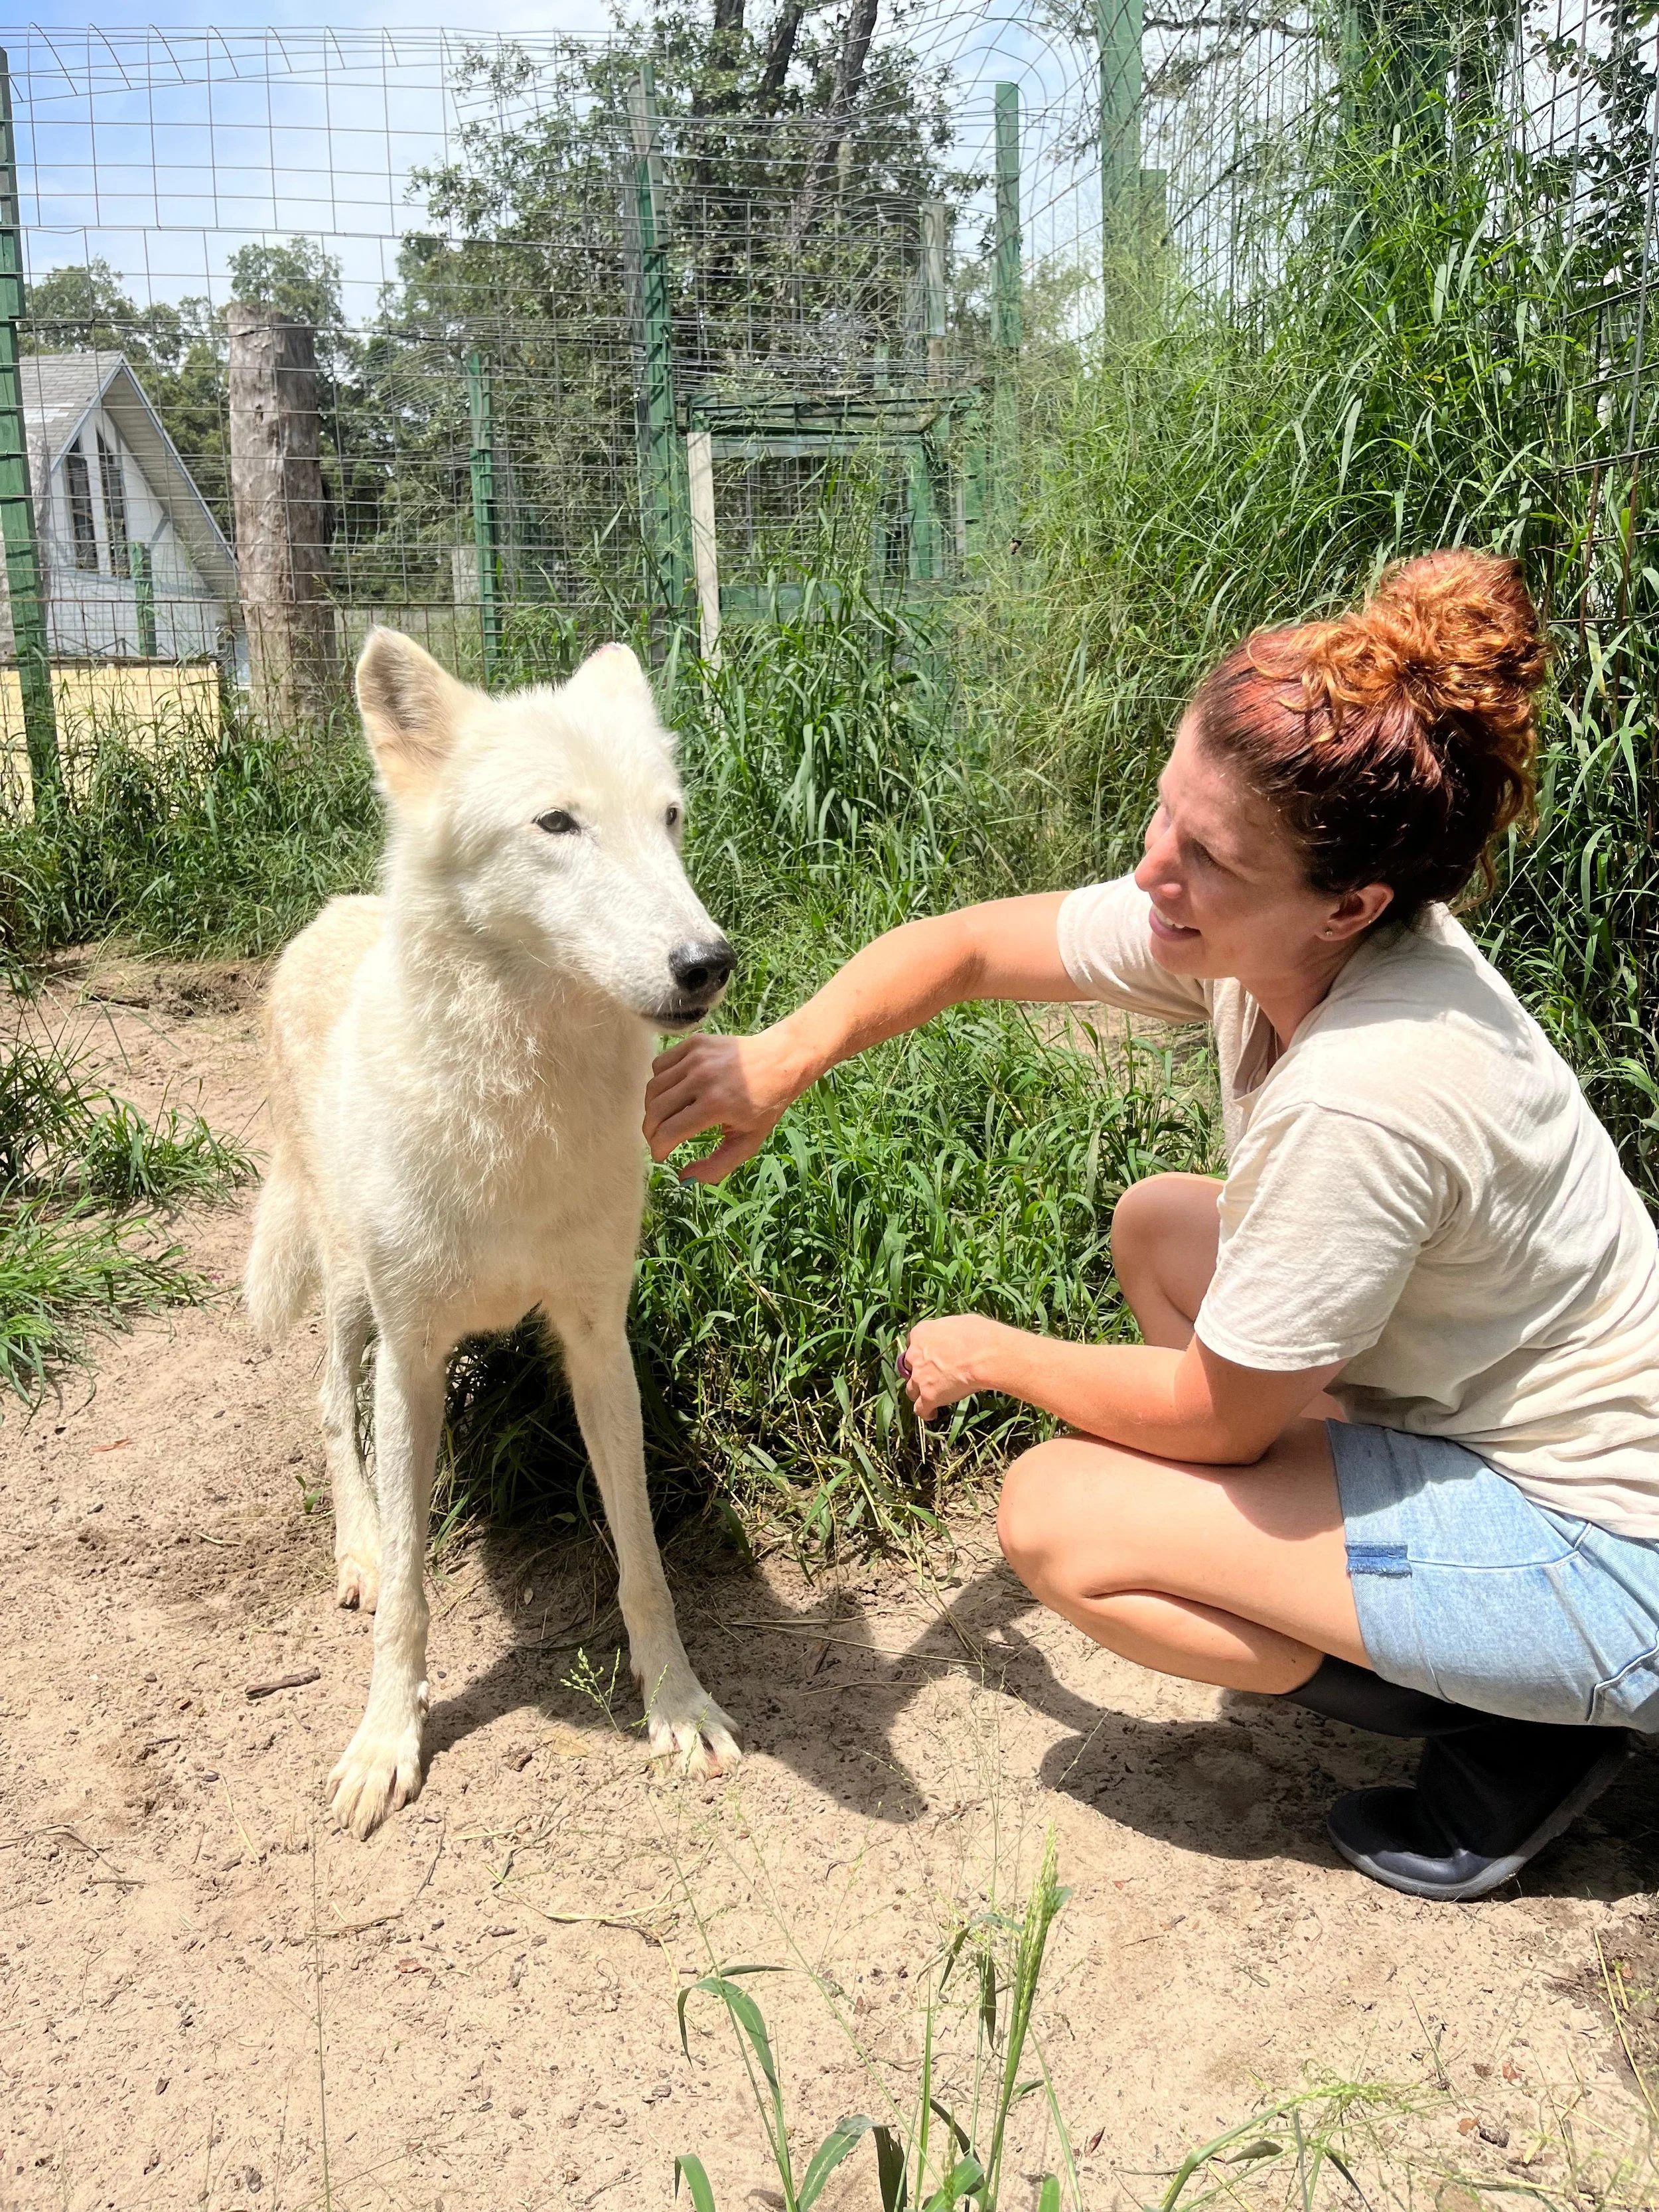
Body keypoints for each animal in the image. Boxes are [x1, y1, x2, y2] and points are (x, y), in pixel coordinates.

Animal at [244, 628, 741, 1838]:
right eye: (557, 823)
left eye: (669, 818)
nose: (708, 962)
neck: (519, 1113)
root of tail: (333, 911)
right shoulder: (414, 1352)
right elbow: (415, 1594)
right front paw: (387, 1740)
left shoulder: (598, 1339)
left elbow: (643, 1557)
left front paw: (678, 1706)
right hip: (349, 1293)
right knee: (330, 1408)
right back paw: (358, 1548)